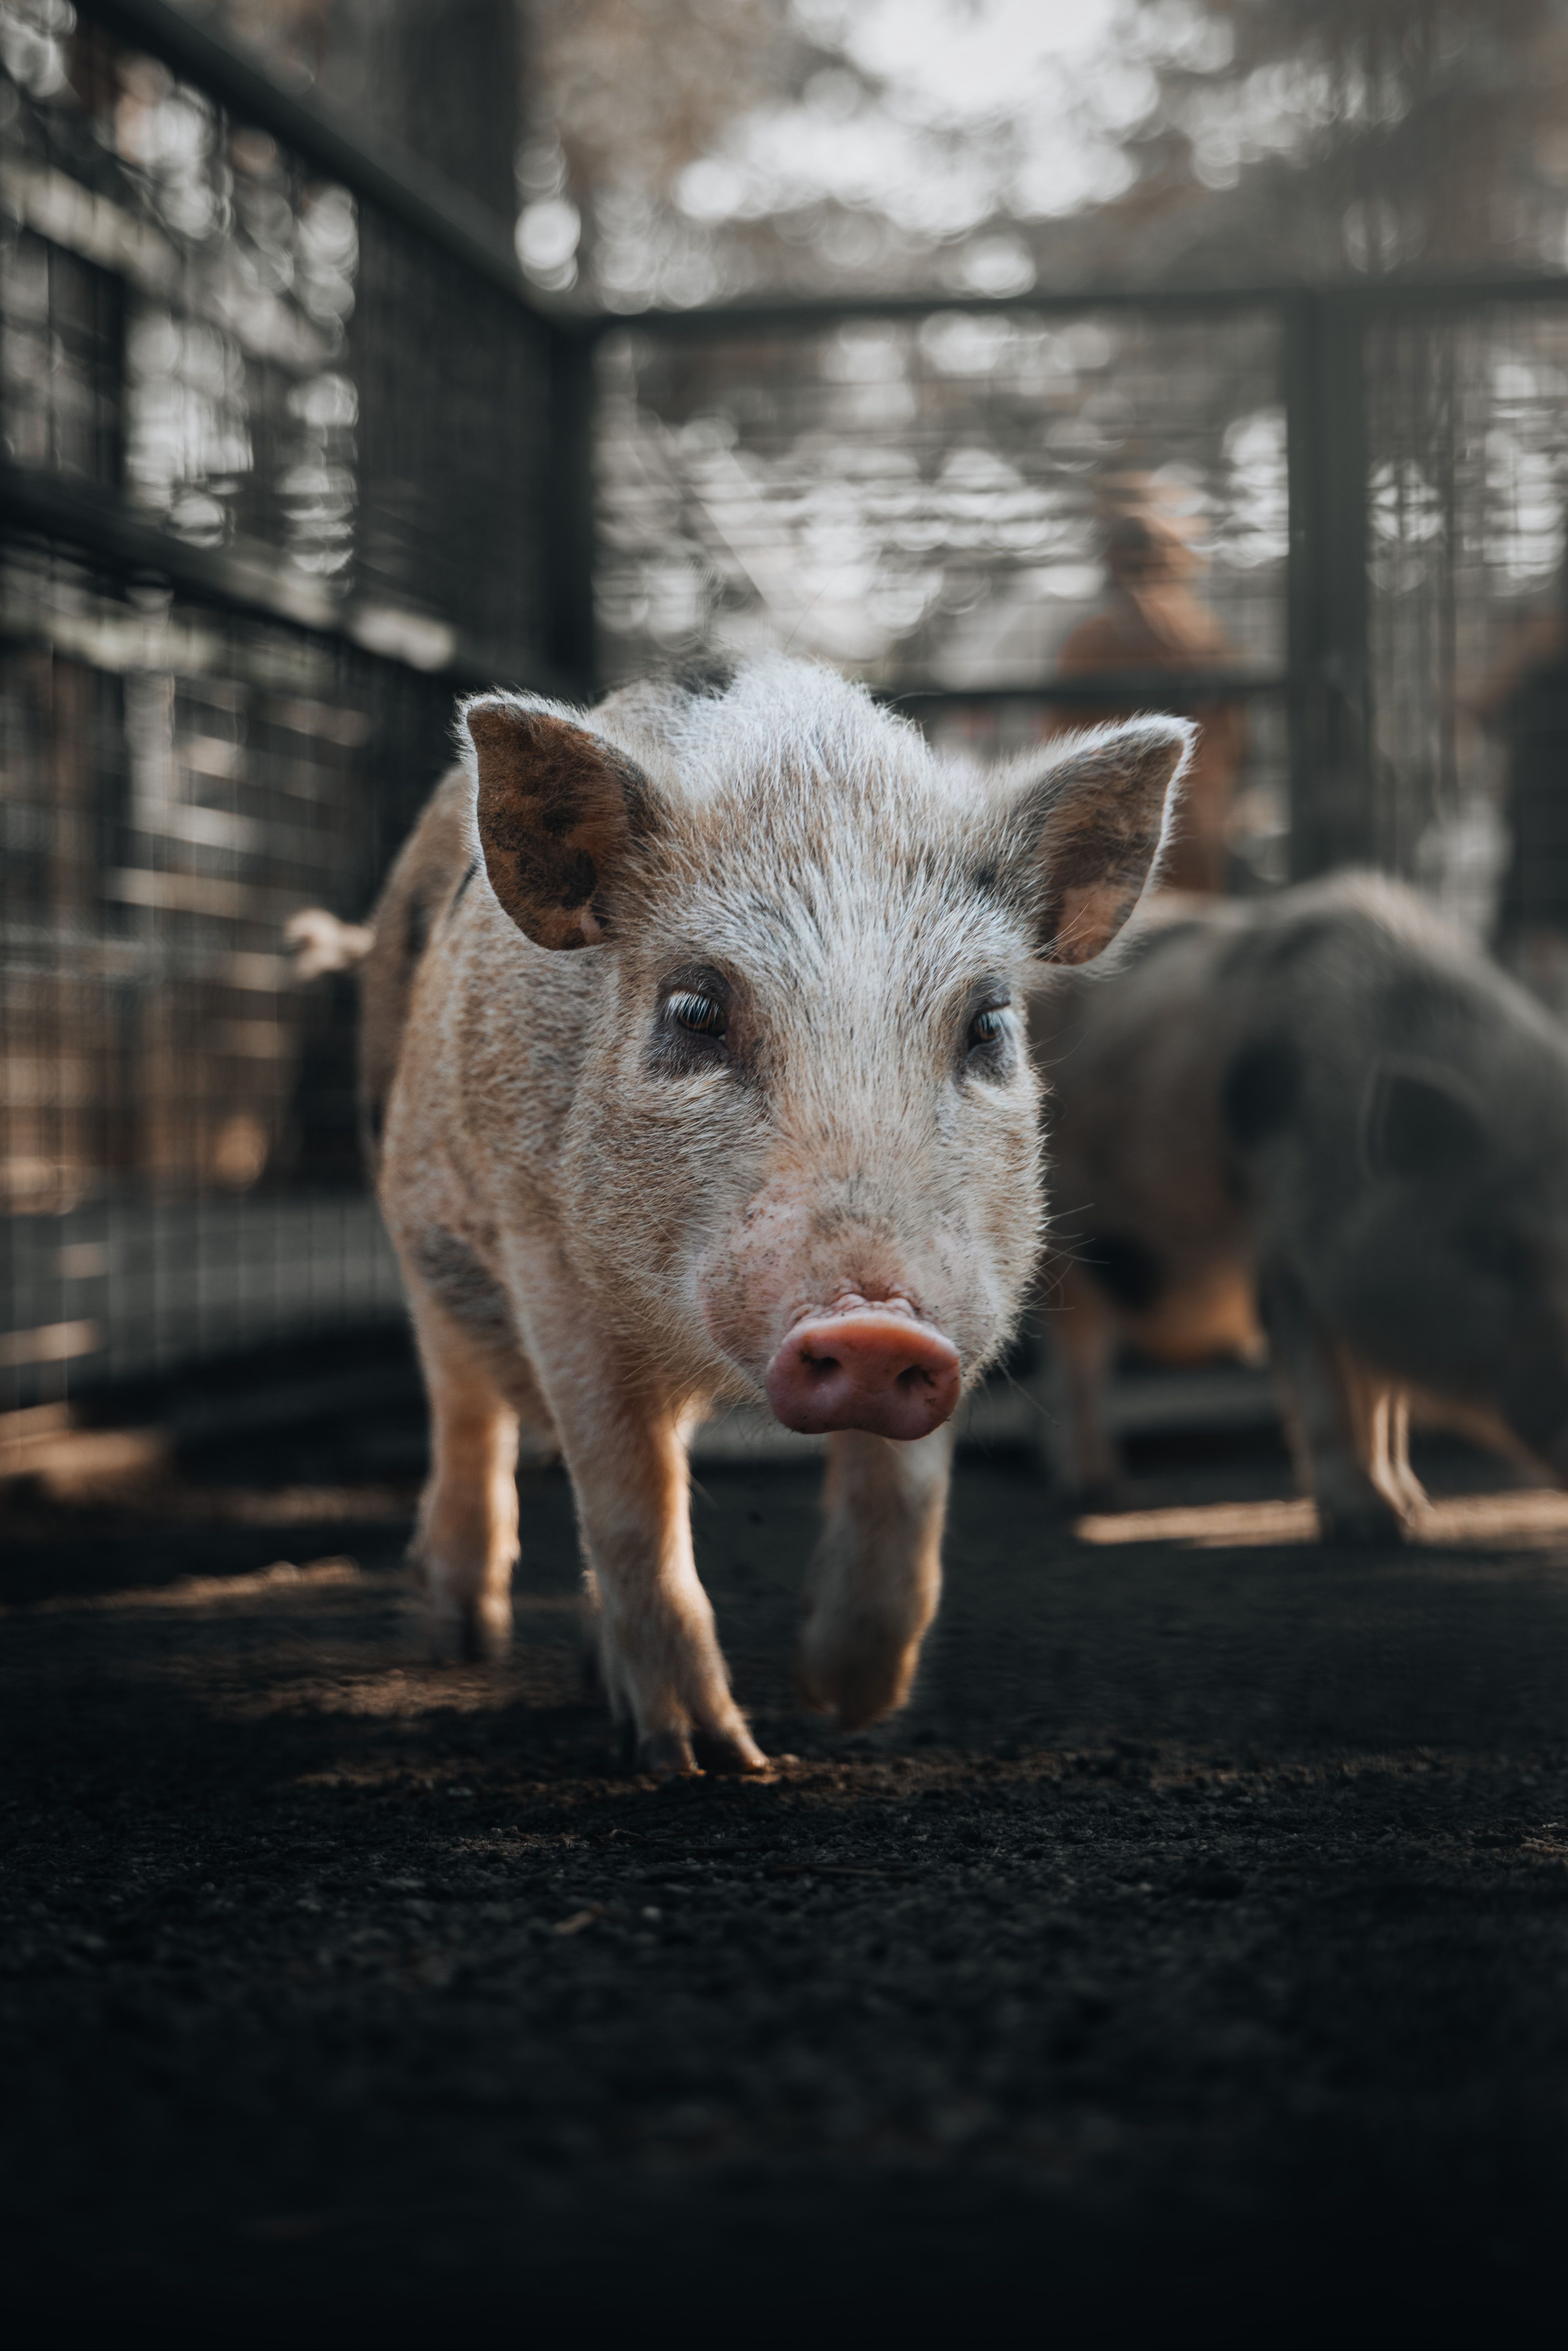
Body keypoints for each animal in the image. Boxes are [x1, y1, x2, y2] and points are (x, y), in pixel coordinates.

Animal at [334, 657, 1190, 1772]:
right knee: (464, 1408)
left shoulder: (957, 1297)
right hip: (414, 1217)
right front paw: (714, 1763)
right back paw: (458, 1640)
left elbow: (905, 1498)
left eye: (990, 1024)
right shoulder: (545, 1258)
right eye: (694, 1011)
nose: (871, 1326)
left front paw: (845, 1704)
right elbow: (628, 1499)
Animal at [1030, 872, 1568, 1543]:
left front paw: (1413, 1512)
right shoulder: (1285, 1251)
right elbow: (1327, 1395)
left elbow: (1384, 1407)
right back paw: (1092, 1495)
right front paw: (1370, 1527)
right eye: (1493, 1248)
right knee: (1071, 1355)